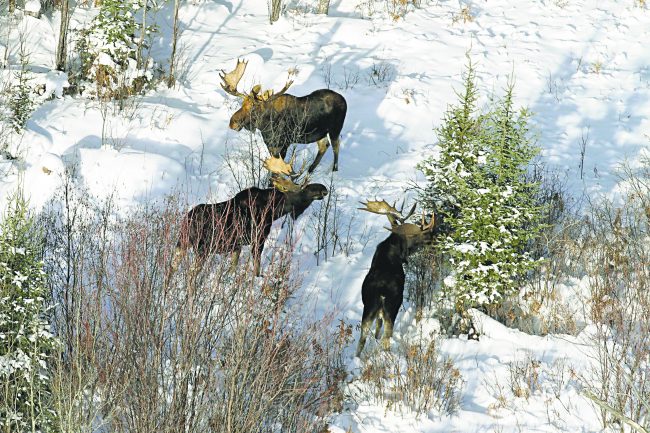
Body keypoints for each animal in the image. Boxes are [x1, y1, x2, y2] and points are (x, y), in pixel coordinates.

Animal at [174, 156, 327, 277]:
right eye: (304, 189)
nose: (324, 189)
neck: (273, 211)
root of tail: (186, 221)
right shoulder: (258, 238)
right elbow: (256, 269)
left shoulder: (237, 246)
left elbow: (233, 268)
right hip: (202, 248)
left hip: (182, 242)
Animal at [355, 200, 436, 357]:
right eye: (418, 237)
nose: (432, 239)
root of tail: (381, 293)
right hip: (392, 307)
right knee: (386, 338)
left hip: (369, 308)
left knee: (362, 339)